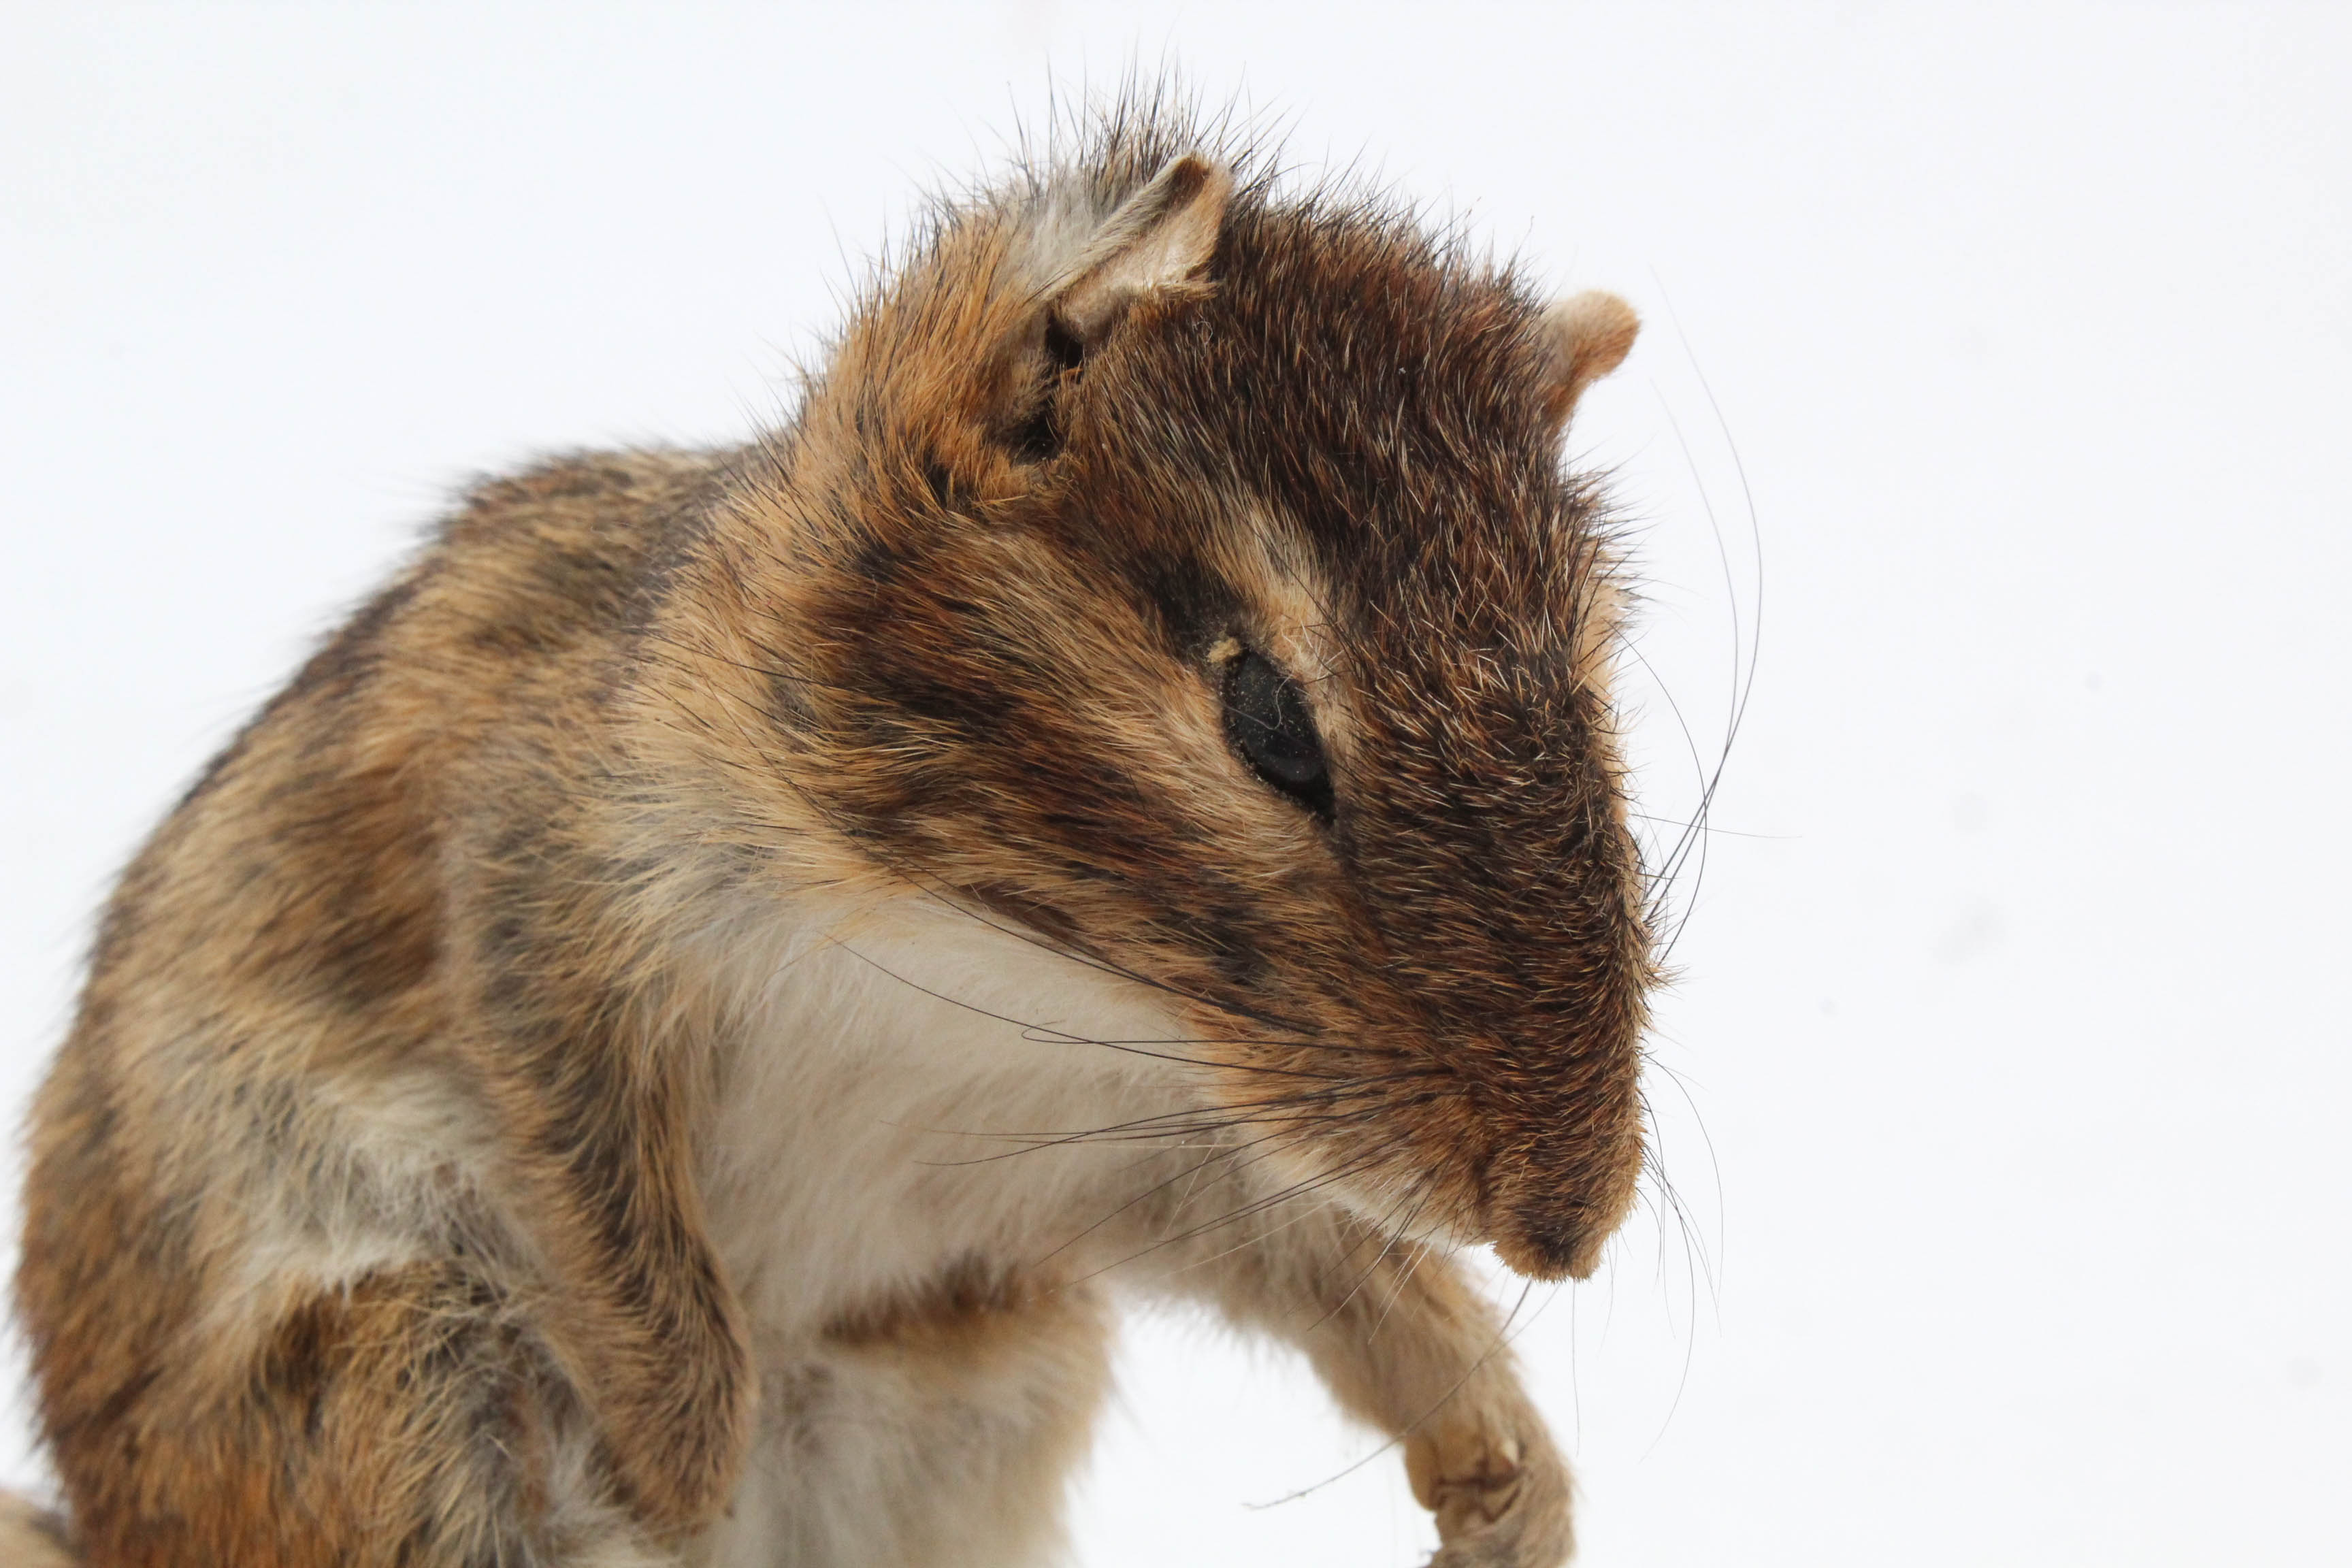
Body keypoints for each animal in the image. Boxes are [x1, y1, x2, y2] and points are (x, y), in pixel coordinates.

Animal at [9, 97, 1652, 1567]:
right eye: (1266, 718)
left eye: (1594, 657)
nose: (1571, 1235)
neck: (995, 963)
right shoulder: (545, 898)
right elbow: (615, 1234)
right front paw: (670, 1472)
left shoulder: (1132, 1144)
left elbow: (1342, 1265)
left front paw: (1506, 1468)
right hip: (395, 1376)